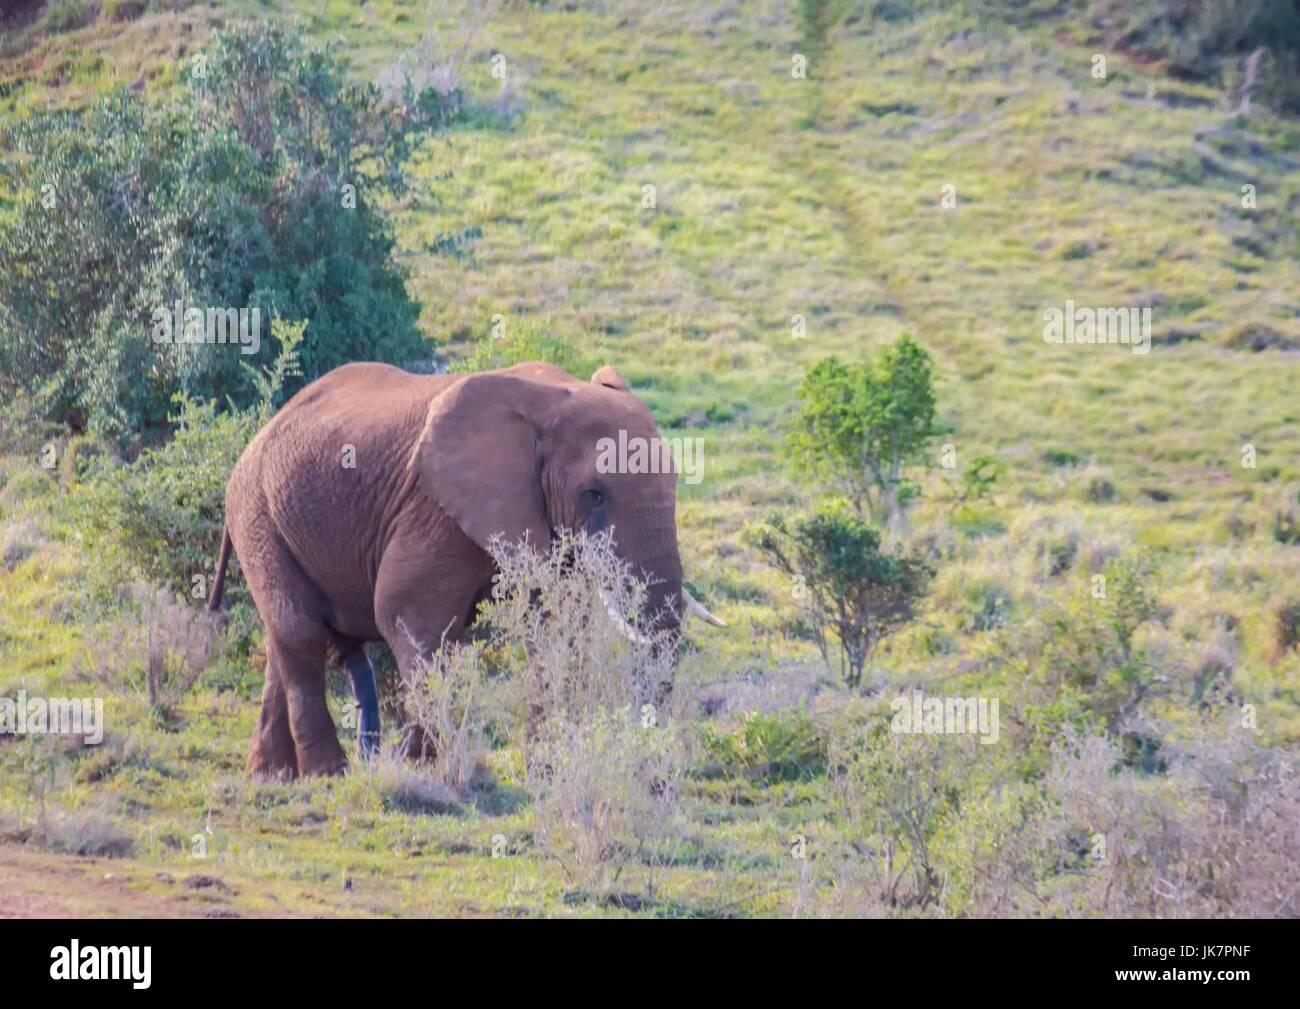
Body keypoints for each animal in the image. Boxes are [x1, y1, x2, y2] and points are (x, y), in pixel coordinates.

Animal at [206, 359, 723, 779]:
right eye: (593, 495)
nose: (652, 771)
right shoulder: (434, 509)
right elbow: (408, 616)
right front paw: (422, 766)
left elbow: (557, 630)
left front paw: (547, 769)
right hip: (257, 512)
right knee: (301, 632)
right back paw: (327, 775)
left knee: (286, 641)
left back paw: (271, 777)